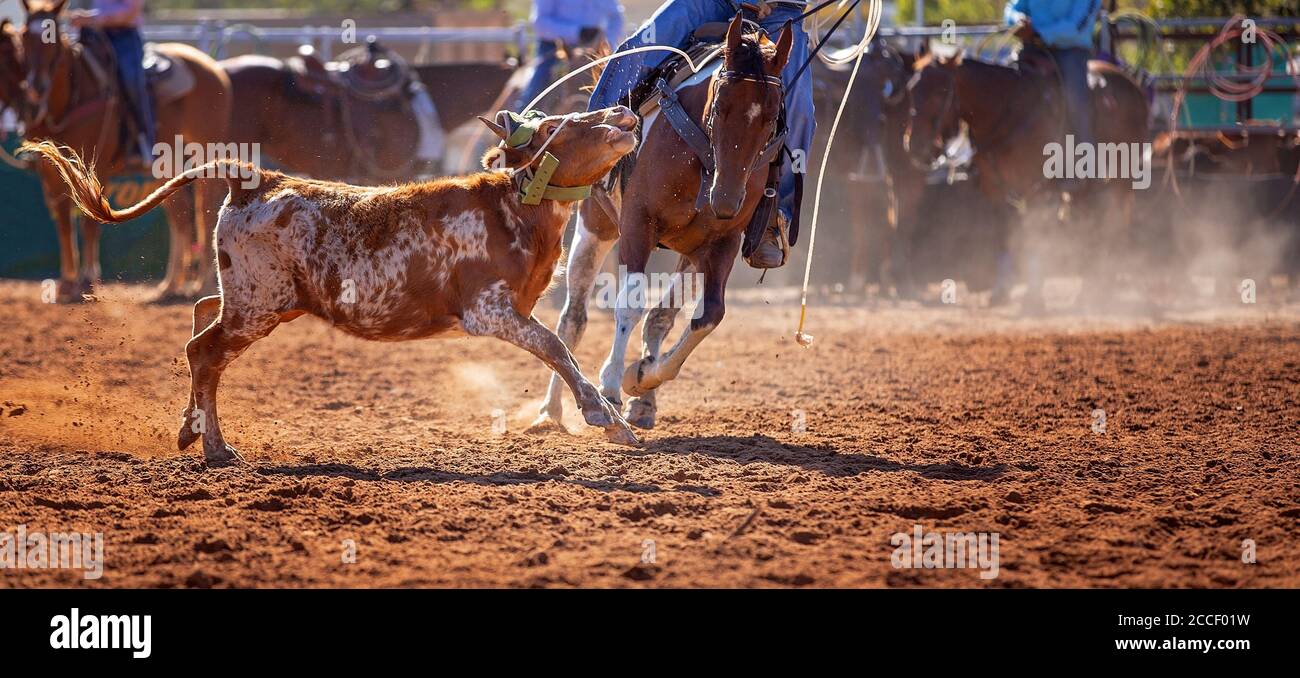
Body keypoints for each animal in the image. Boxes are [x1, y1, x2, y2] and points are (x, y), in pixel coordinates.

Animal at [20, 105, 642, 466]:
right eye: (561, 126)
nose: (621, 110)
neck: (514, 206)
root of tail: (258, 178)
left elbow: (558, 347)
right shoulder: (489, 310)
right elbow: (557, 347)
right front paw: (607, 420)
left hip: (259, 298)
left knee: (201, 316)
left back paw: (189, 431)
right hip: (260, 306)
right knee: (204, 349)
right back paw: (215, 447)